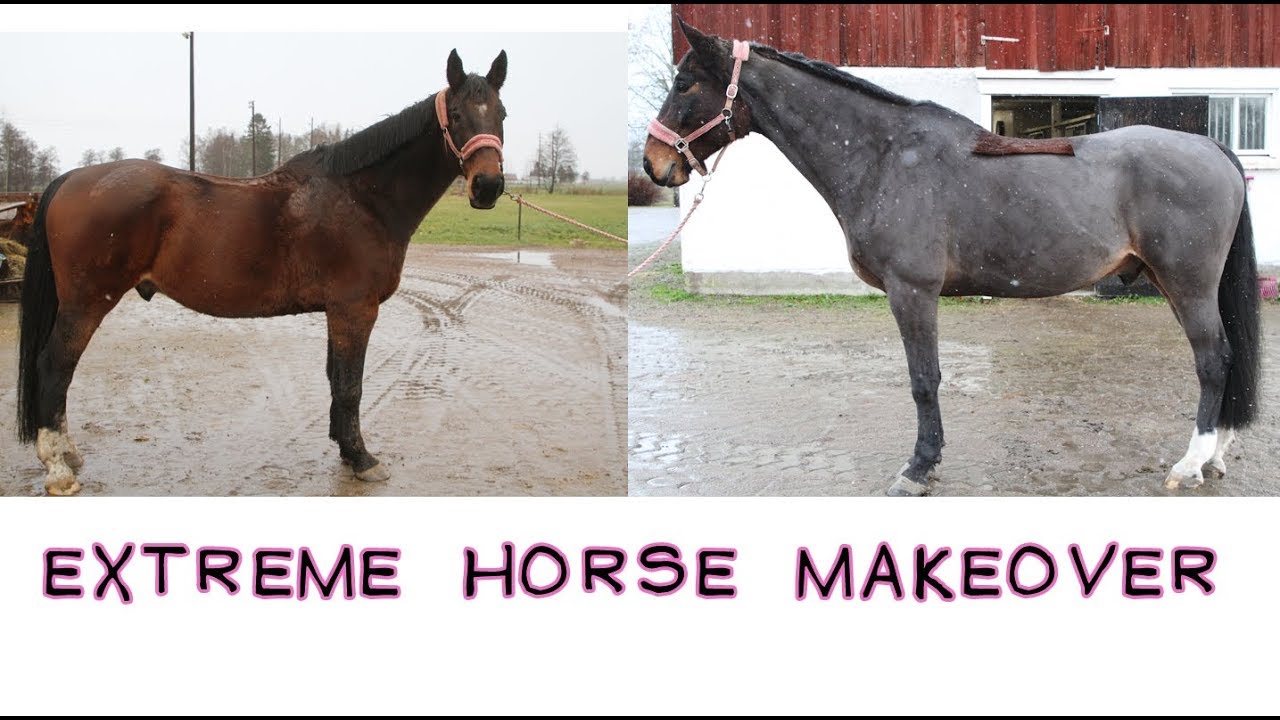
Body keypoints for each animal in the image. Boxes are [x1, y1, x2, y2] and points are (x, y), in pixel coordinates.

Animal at [16, 49, 509, 495]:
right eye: (458, 114)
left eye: (502, 112)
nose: (488, 187)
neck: (360, 197)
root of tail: (71, 179)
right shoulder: (355, 310)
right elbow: (350, 385)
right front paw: (362, 459)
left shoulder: (338, 312)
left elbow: (335, 380)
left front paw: (344, 449)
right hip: (86, 303)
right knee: (54, 366)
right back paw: (58, 469)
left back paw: (69, 455)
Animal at [644, 19, 1260, 496]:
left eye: (684, 83)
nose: (654, 164)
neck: (884, 155)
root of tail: (1212, 146)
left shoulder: (912, 291)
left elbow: (924, 378)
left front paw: (919, 467)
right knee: (1224, 358)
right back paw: (1215, 455)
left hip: (1187, 283)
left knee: (1213, 360)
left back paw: (1190, 464)